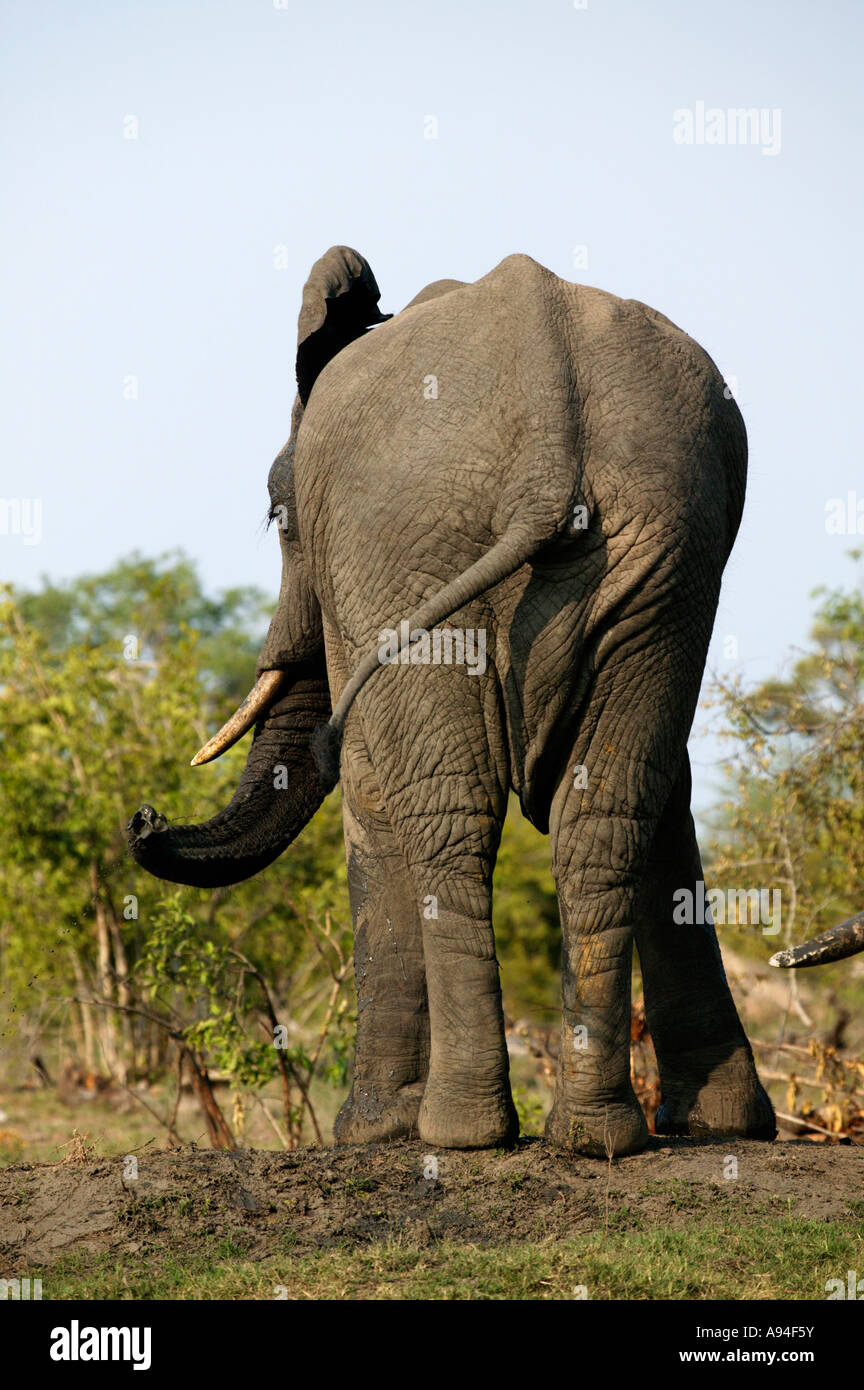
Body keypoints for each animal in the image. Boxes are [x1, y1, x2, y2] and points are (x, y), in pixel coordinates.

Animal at [128, 245, 776, 1156]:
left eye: (278, 519)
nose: (143, 818)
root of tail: (547, 438)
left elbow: (368, 789)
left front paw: (369, 1132)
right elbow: (667, 788)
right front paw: (725, 1125)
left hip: (411, 547)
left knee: (446, 810)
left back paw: (456, 1133)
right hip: (664, 551)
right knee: (608, 808)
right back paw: (596, 1137)